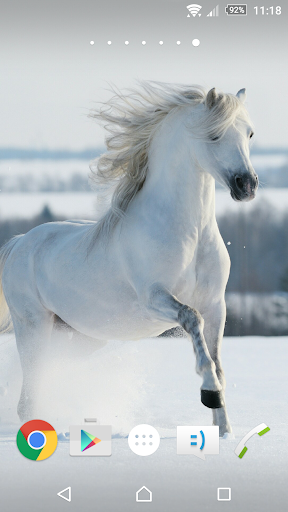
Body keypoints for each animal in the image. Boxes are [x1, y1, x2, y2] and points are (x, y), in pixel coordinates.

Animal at [0, 82, 256, 434]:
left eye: (249, 134)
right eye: (214, 135)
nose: (247, 185)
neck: (190, 234)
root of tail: (19, 242)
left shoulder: (216, 305)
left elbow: (218, 363)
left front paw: (224, 428)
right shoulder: (155, 299)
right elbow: (193, 322)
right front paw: (209, 394)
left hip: (78, 337)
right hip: (33, 327)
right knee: (28, 400)